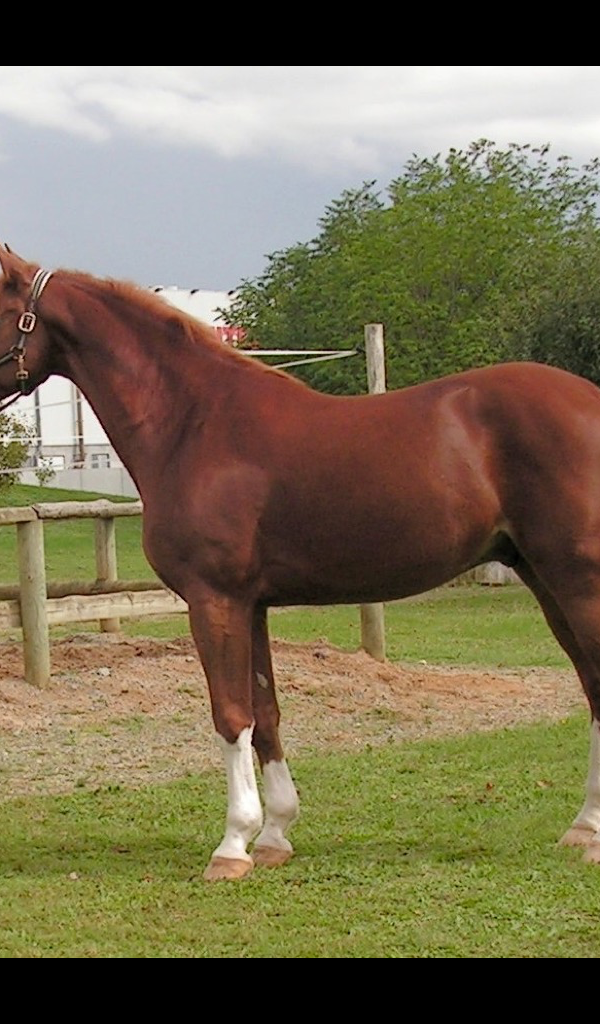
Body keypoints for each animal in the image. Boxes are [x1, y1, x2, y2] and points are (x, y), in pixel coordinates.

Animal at [0, 246, 598, 881]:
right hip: (547, 581)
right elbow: (265, 713)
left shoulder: (213, 599)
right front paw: (274, 834)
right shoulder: (251, 604)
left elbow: (231, 714)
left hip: (577, 581)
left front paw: (232, 844)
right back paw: (582, 830)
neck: (193, 422)